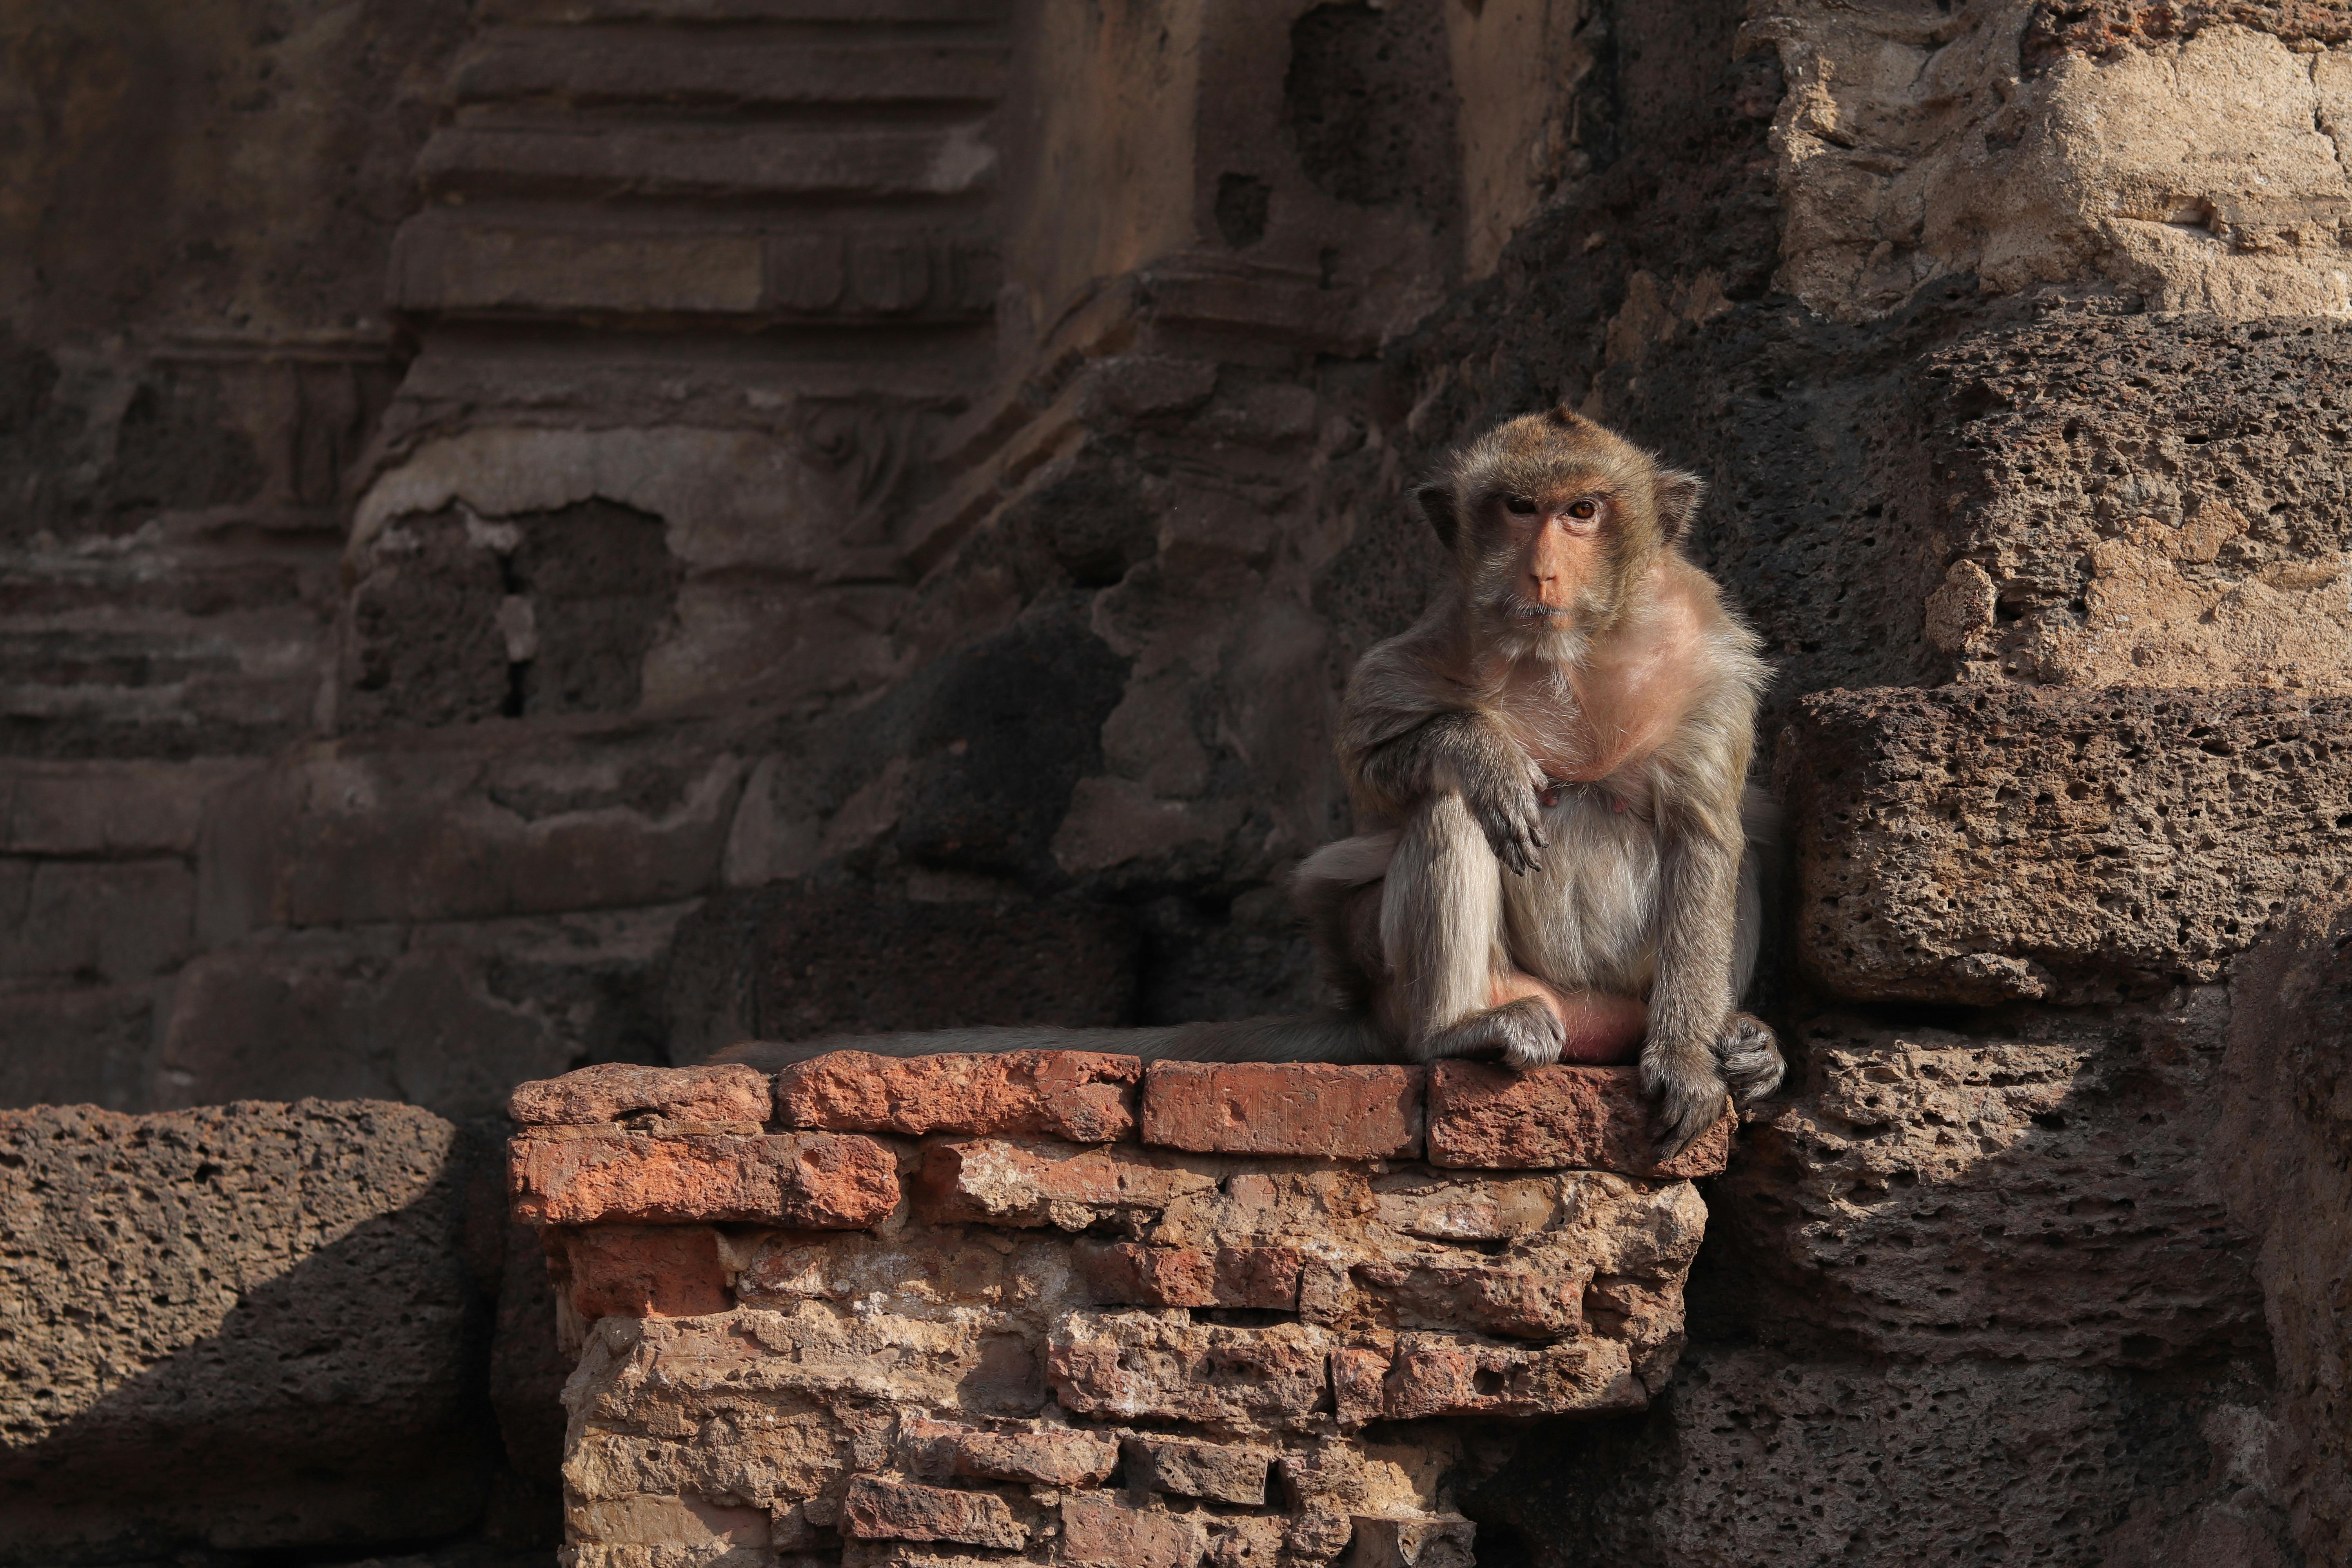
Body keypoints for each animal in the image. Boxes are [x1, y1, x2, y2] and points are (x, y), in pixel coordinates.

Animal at [714, 408, 1783, 1155]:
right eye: (1518, 510)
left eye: (1582, 510)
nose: (1543, 572)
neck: (1566, 654)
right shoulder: (1434, 637)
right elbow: (1378, 759)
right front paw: (1482, 751)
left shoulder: (1710, 657)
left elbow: (1706, 834)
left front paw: (1688, 1065)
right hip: (1410, 981)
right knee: (1448, 815)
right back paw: (1459, 1028)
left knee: (1741, 843)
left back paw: (1739, 1043)